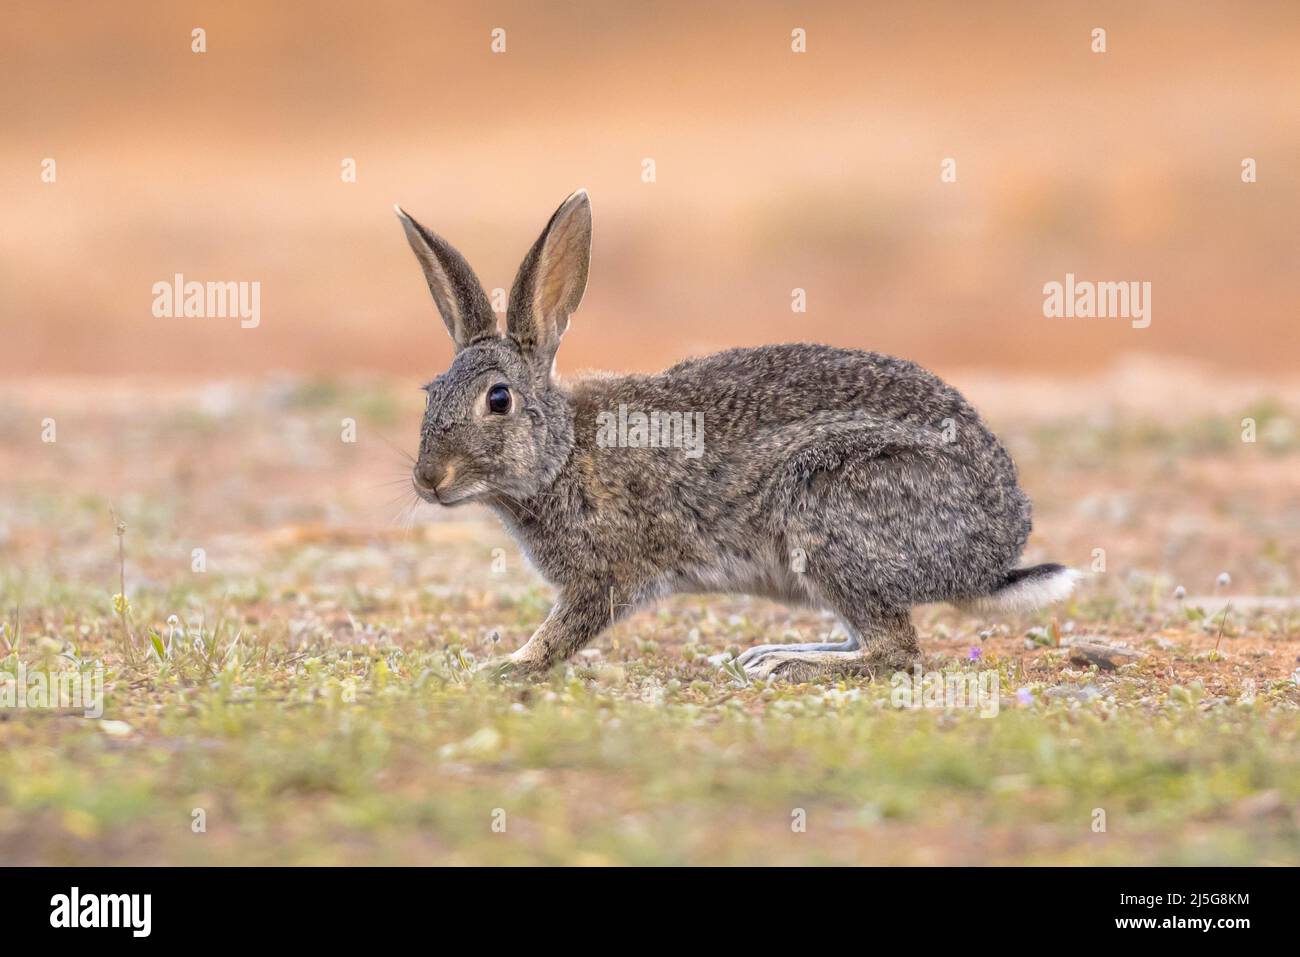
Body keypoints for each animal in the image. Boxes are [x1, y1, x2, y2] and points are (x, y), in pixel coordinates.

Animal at [395, 189, 1078, 682]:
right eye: (430, 392)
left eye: (499, 400)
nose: (429, 481)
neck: (564, 455)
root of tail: (992, 555)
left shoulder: (609, 572)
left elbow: (562, 630)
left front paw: (505, 666)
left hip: (832, 512)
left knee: (897, 650)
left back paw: (785, 663)